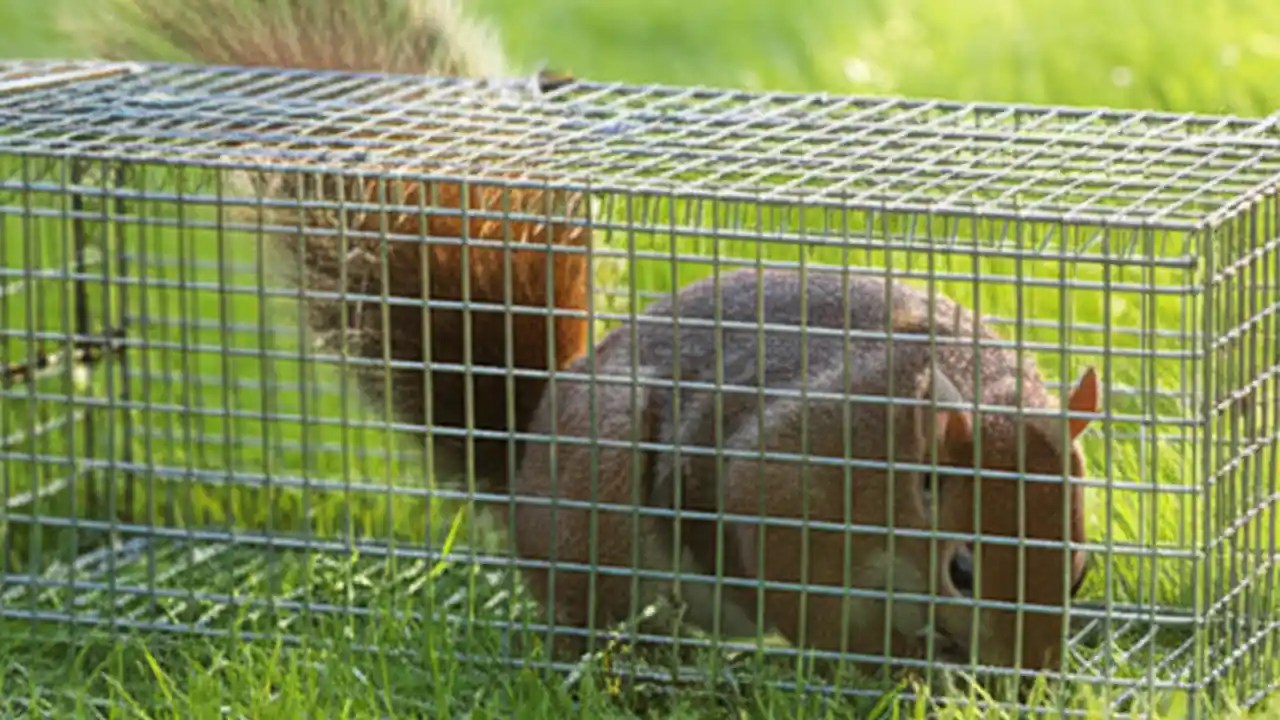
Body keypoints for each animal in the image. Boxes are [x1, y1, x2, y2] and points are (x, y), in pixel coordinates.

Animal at [78, 0, 1100, 676]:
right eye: (963, 568)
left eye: (1085, 564)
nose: (1032, 678)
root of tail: (523, 462)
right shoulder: (787, 481)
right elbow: (801, 599)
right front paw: (900, 663)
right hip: (593, 513)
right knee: (582, 625)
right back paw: (608, 673)